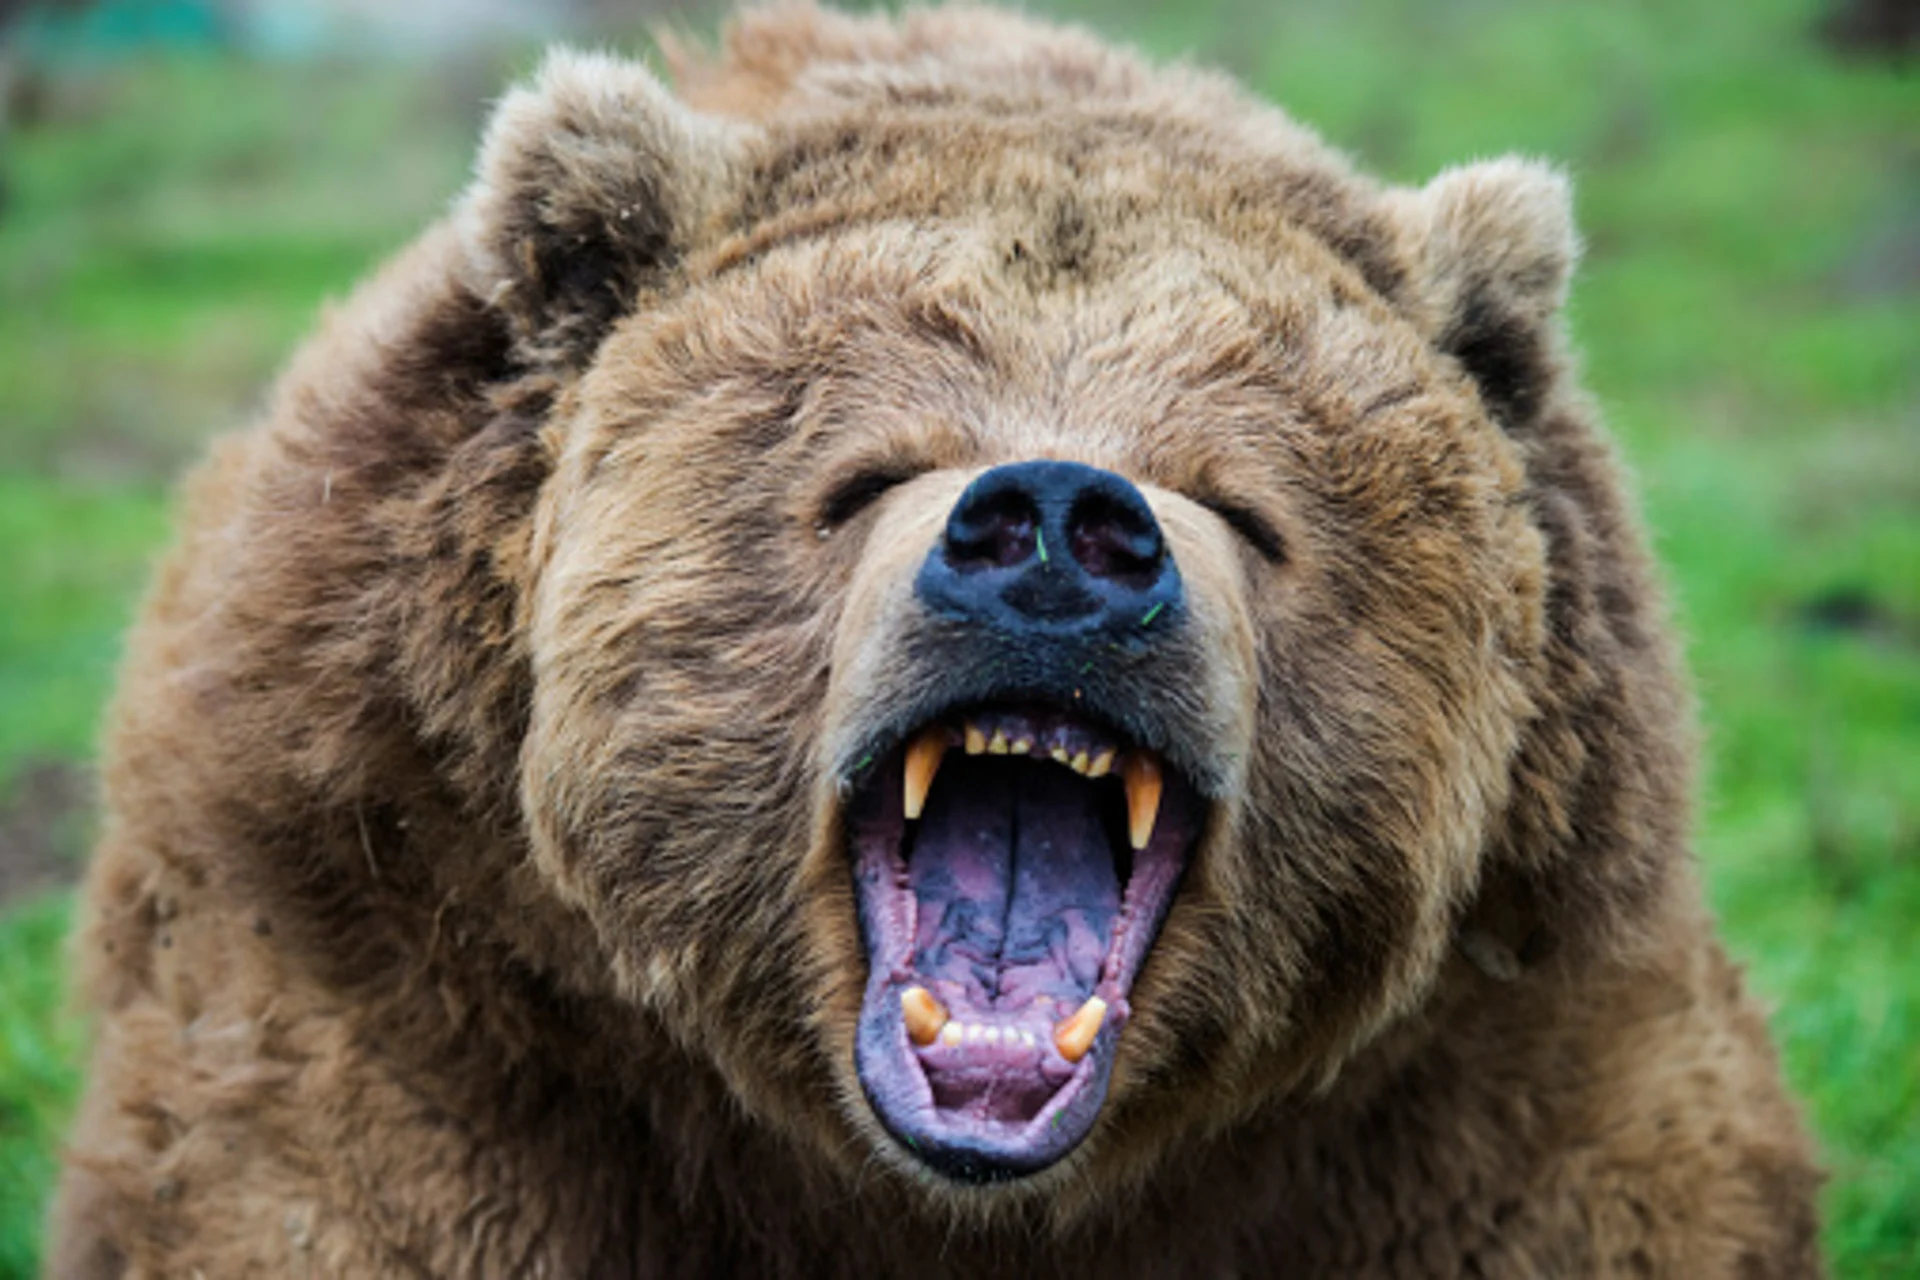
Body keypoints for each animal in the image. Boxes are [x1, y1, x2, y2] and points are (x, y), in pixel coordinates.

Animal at [50, 3, 1822, 1275]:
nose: (1056, 531)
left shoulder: (1494, 1067)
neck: (946, 1189)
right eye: (864, 472)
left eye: (1240, 501)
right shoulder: (409, 968)